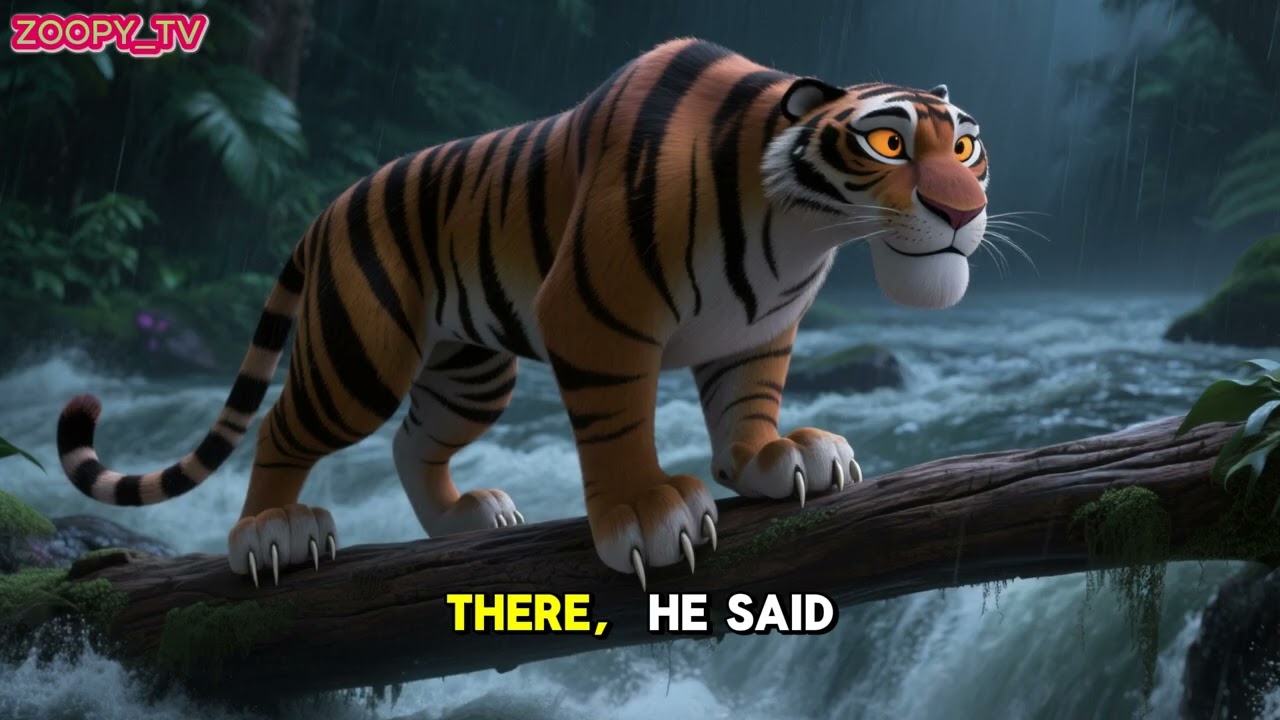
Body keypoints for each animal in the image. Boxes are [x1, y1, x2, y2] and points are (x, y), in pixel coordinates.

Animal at [55, 37, 989, 590]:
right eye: (888, 143)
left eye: (965, 145)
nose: (963, 210)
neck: (800, 229)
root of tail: (327, 207)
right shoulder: (595, 309)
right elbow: (618, 424)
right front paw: (648, 512)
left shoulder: (754, 331)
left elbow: (748, 404)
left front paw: (775, 457)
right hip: (360, 355)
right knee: (286, 425)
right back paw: (272, 532)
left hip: (469, 373)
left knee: (411, 441)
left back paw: (461, 519)